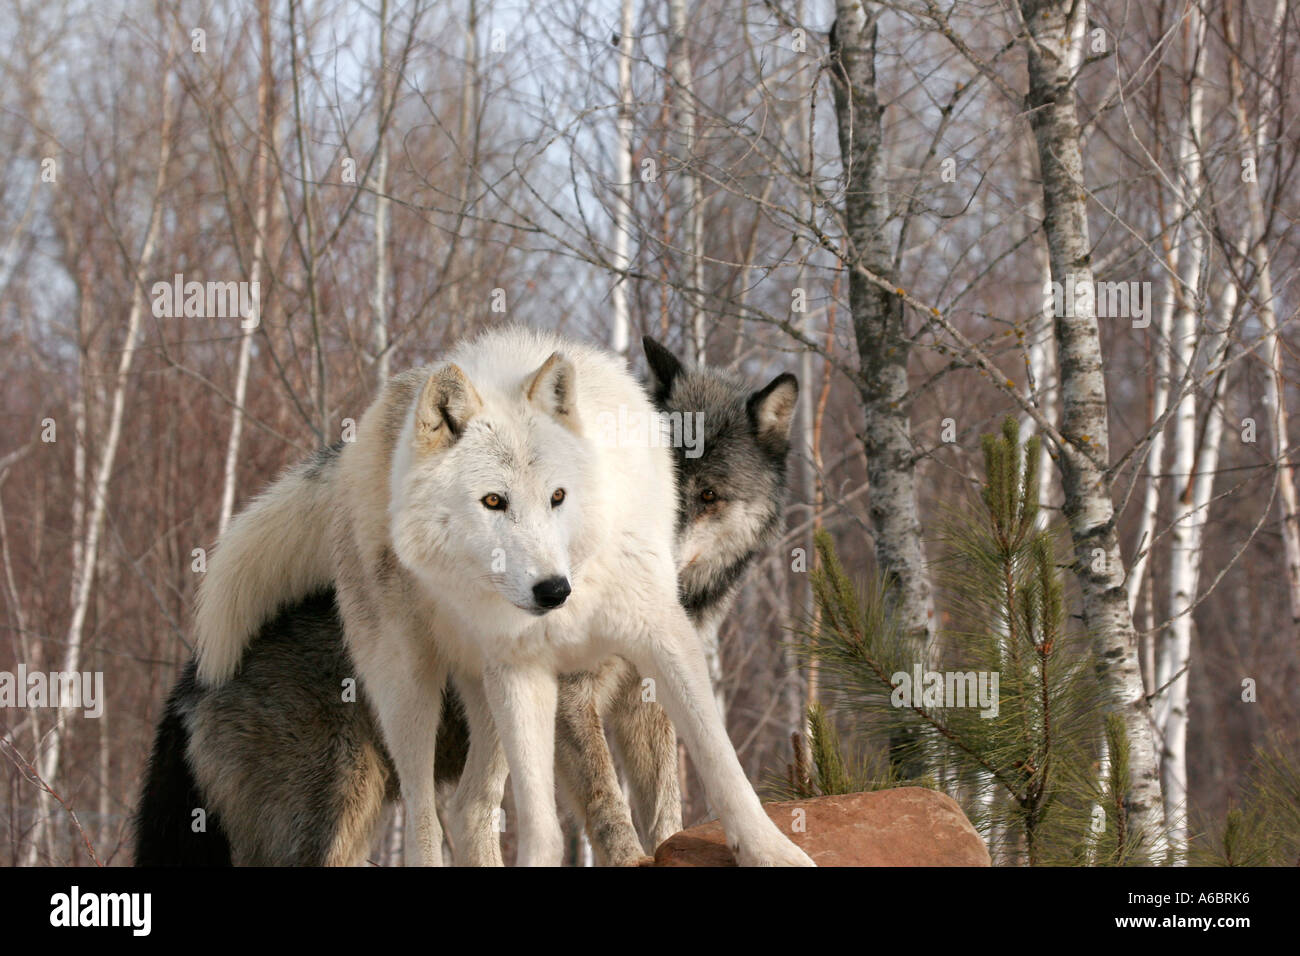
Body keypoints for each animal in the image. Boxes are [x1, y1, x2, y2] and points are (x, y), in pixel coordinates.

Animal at [140, 327, 810, 867]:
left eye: (708, 496)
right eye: (676, 481)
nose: (649, 559)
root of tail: (189, 688)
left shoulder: (648, 685)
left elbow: (688, 792)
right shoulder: (573, 699)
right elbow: (607, 803)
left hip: (479, 707)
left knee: (469, 808)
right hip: (381, 738)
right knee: (425, 823)